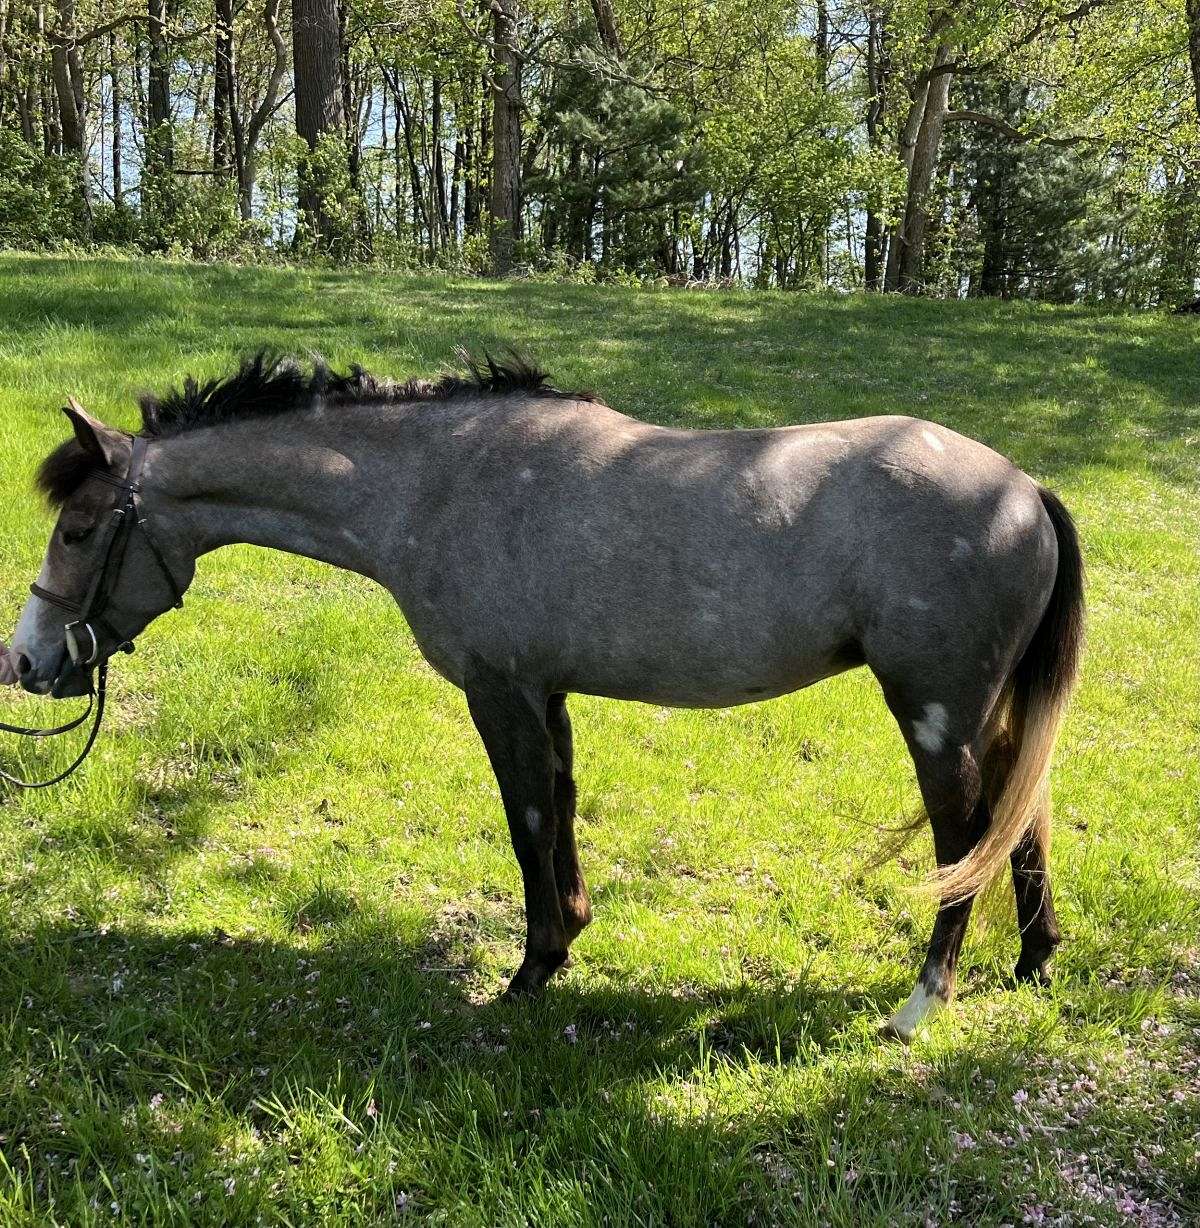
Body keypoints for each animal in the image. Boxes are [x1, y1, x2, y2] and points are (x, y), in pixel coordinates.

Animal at [3, 351, 1083, 1041]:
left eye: (80, 528)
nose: (27, 662)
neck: (441, 483)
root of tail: (1024, 489)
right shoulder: (546, 695)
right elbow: (558, 815)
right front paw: (564, 946)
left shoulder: (502, 693)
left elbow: (526, 824)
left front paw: (528, 975)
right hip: (988, 714)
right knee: (1022, 820)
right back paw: (1034, 962)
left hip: (936, 719)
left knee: (963, 844)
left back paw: (922, 1004)